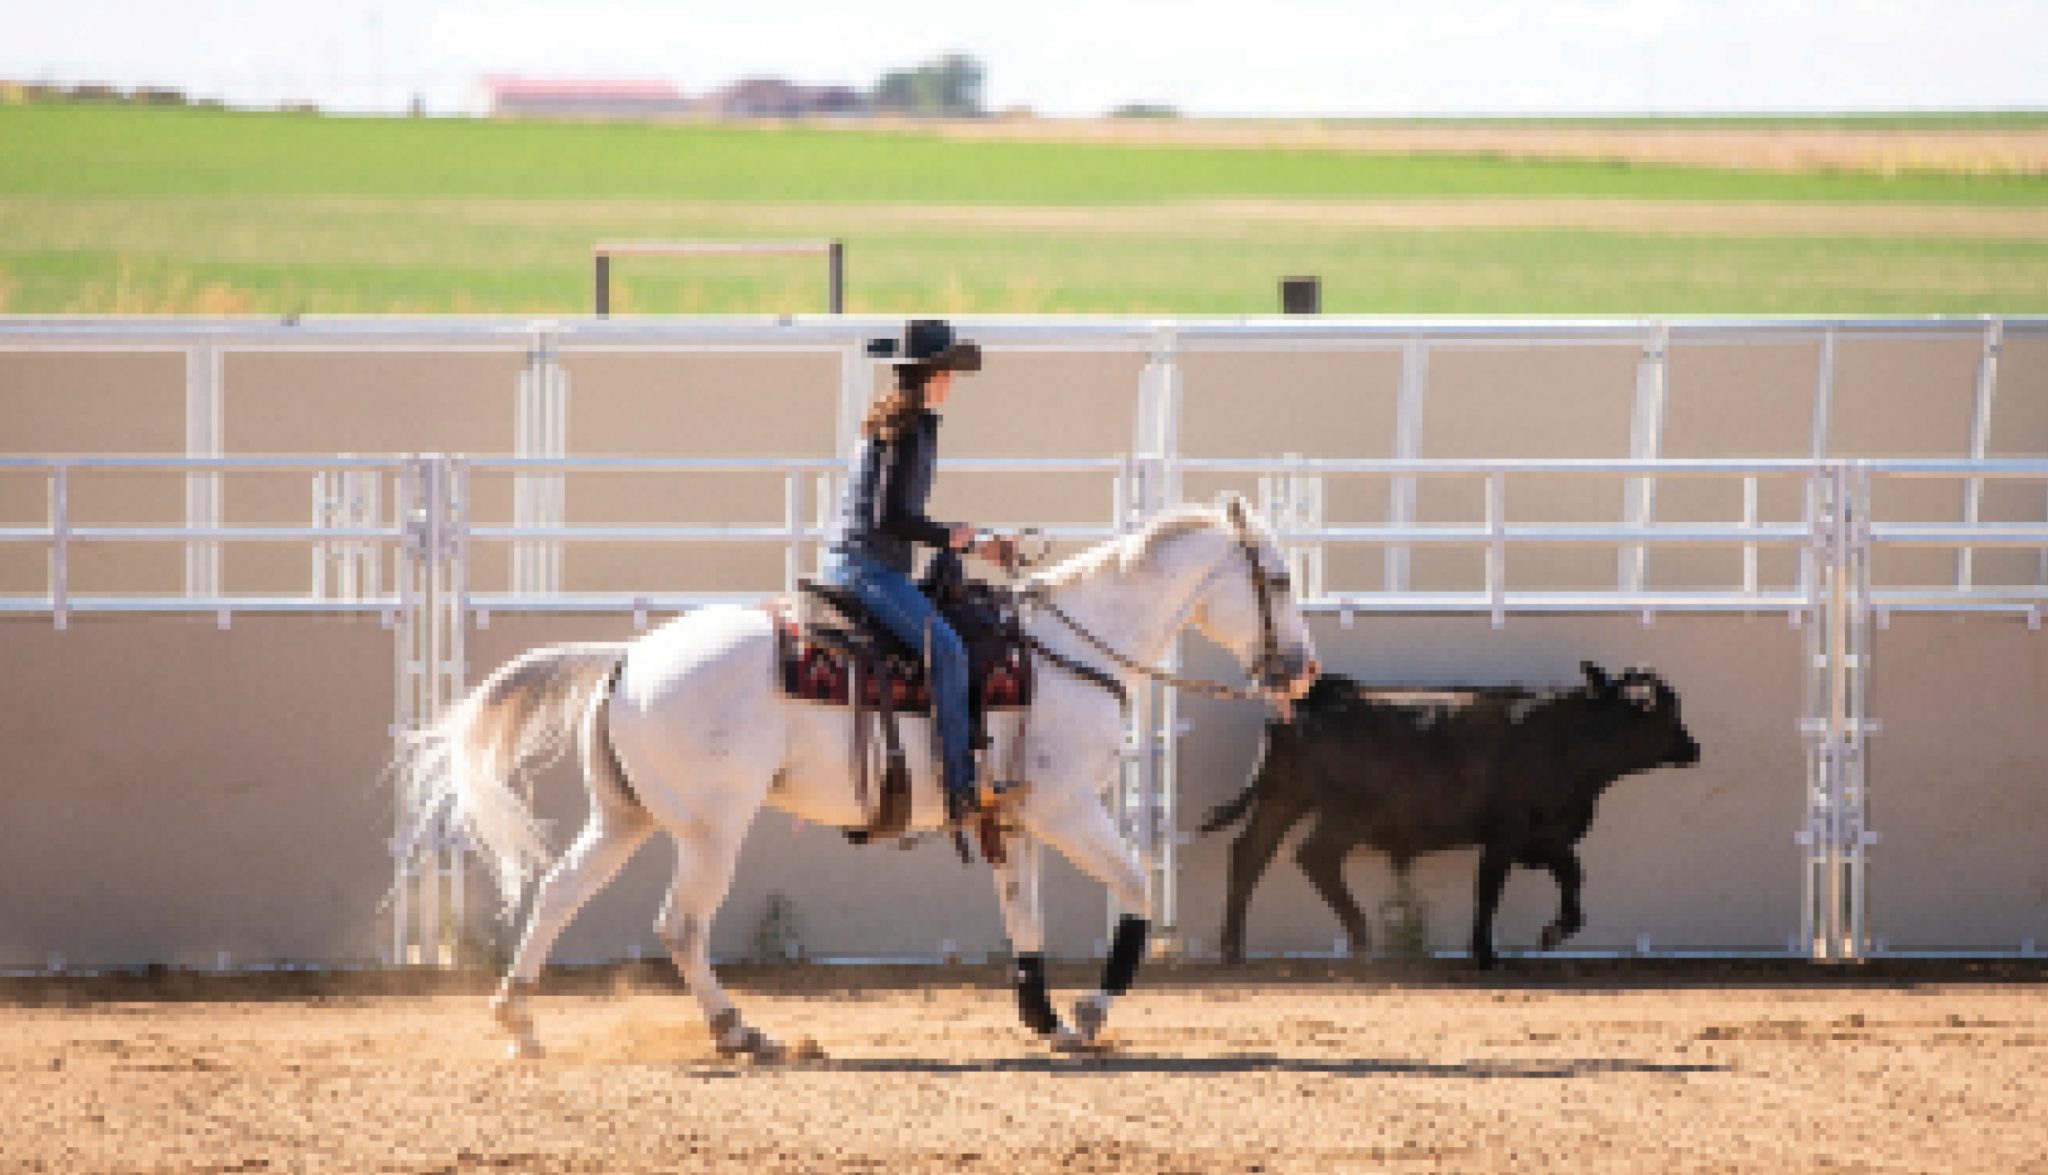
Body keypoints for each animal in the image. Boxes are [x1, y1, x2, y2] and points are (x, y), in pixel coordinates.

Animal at [398, 495, 1319, 1060]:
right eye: (1276, 578)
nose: (1304, 669)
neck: (1070, 649)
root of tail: (627, 656)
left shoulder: (1017, 818)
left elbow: (1023, 915)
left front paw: (1043, 1015)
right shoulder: (1067, 807)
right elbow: (1135, 888)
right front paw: (1089, 1014)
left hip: (624, 816)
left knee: (559, 891)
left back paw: (519, 1018)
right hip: (711, 828)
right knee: (681, 925)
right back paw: (741, 1032)